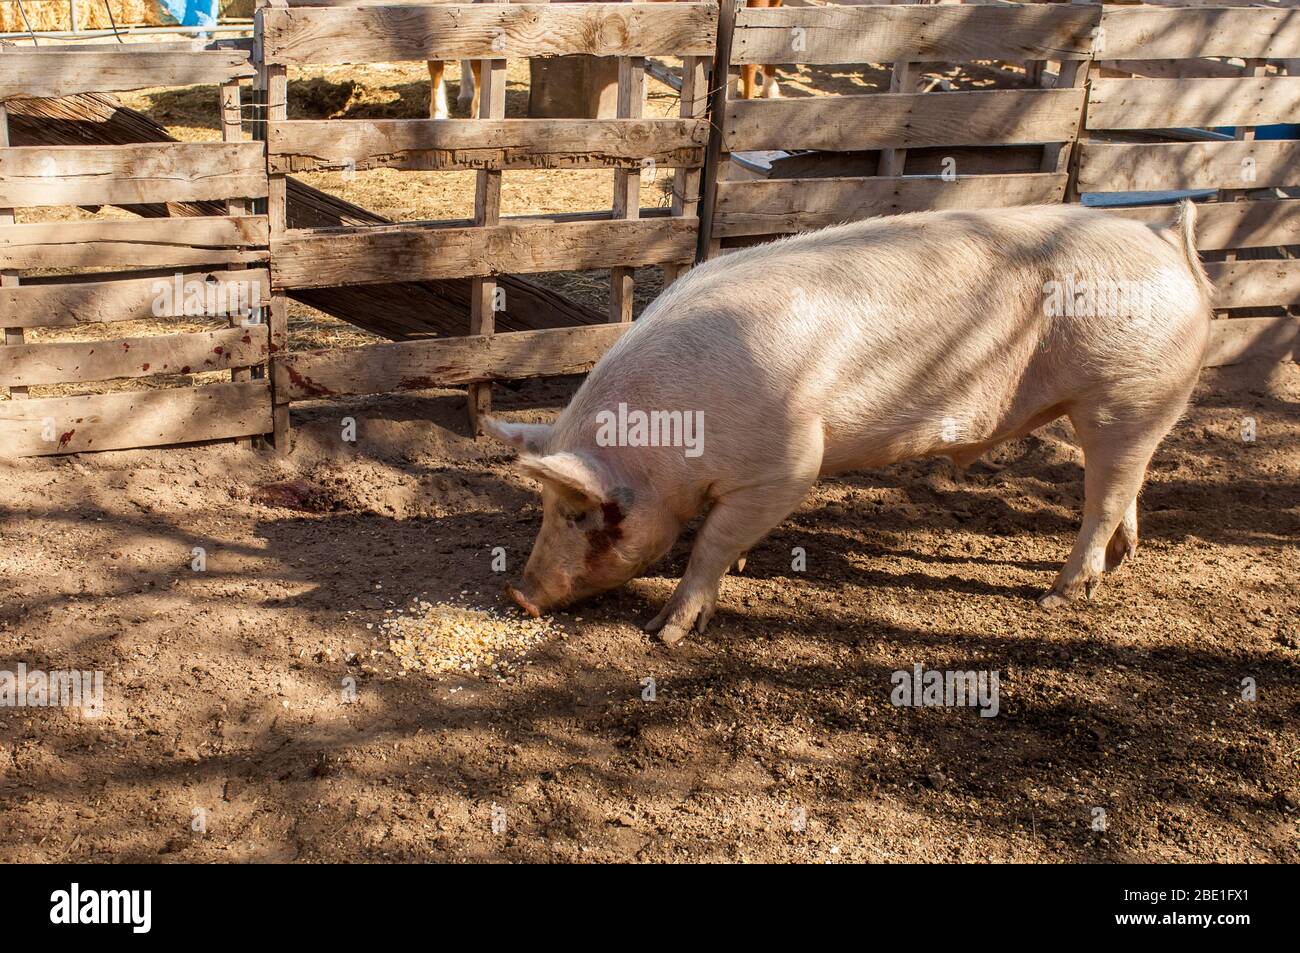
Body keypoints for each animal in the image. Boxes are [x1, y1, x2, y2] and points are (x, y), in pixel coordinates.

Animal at [483, 202, 1211, 645]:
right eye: (547, 507)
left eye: (585, 513)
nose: (519, 596)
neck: (670, 444)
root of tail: (1165, 237)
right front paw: (741, 567)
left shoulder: (789, 464)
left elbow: (710, 543)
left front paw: (664, 632)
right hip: (1138, 404)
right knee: (1126, 484)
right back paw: (1121, 560)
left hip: (1125, 392)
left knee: (1106, 493)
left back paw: (1060, 597)